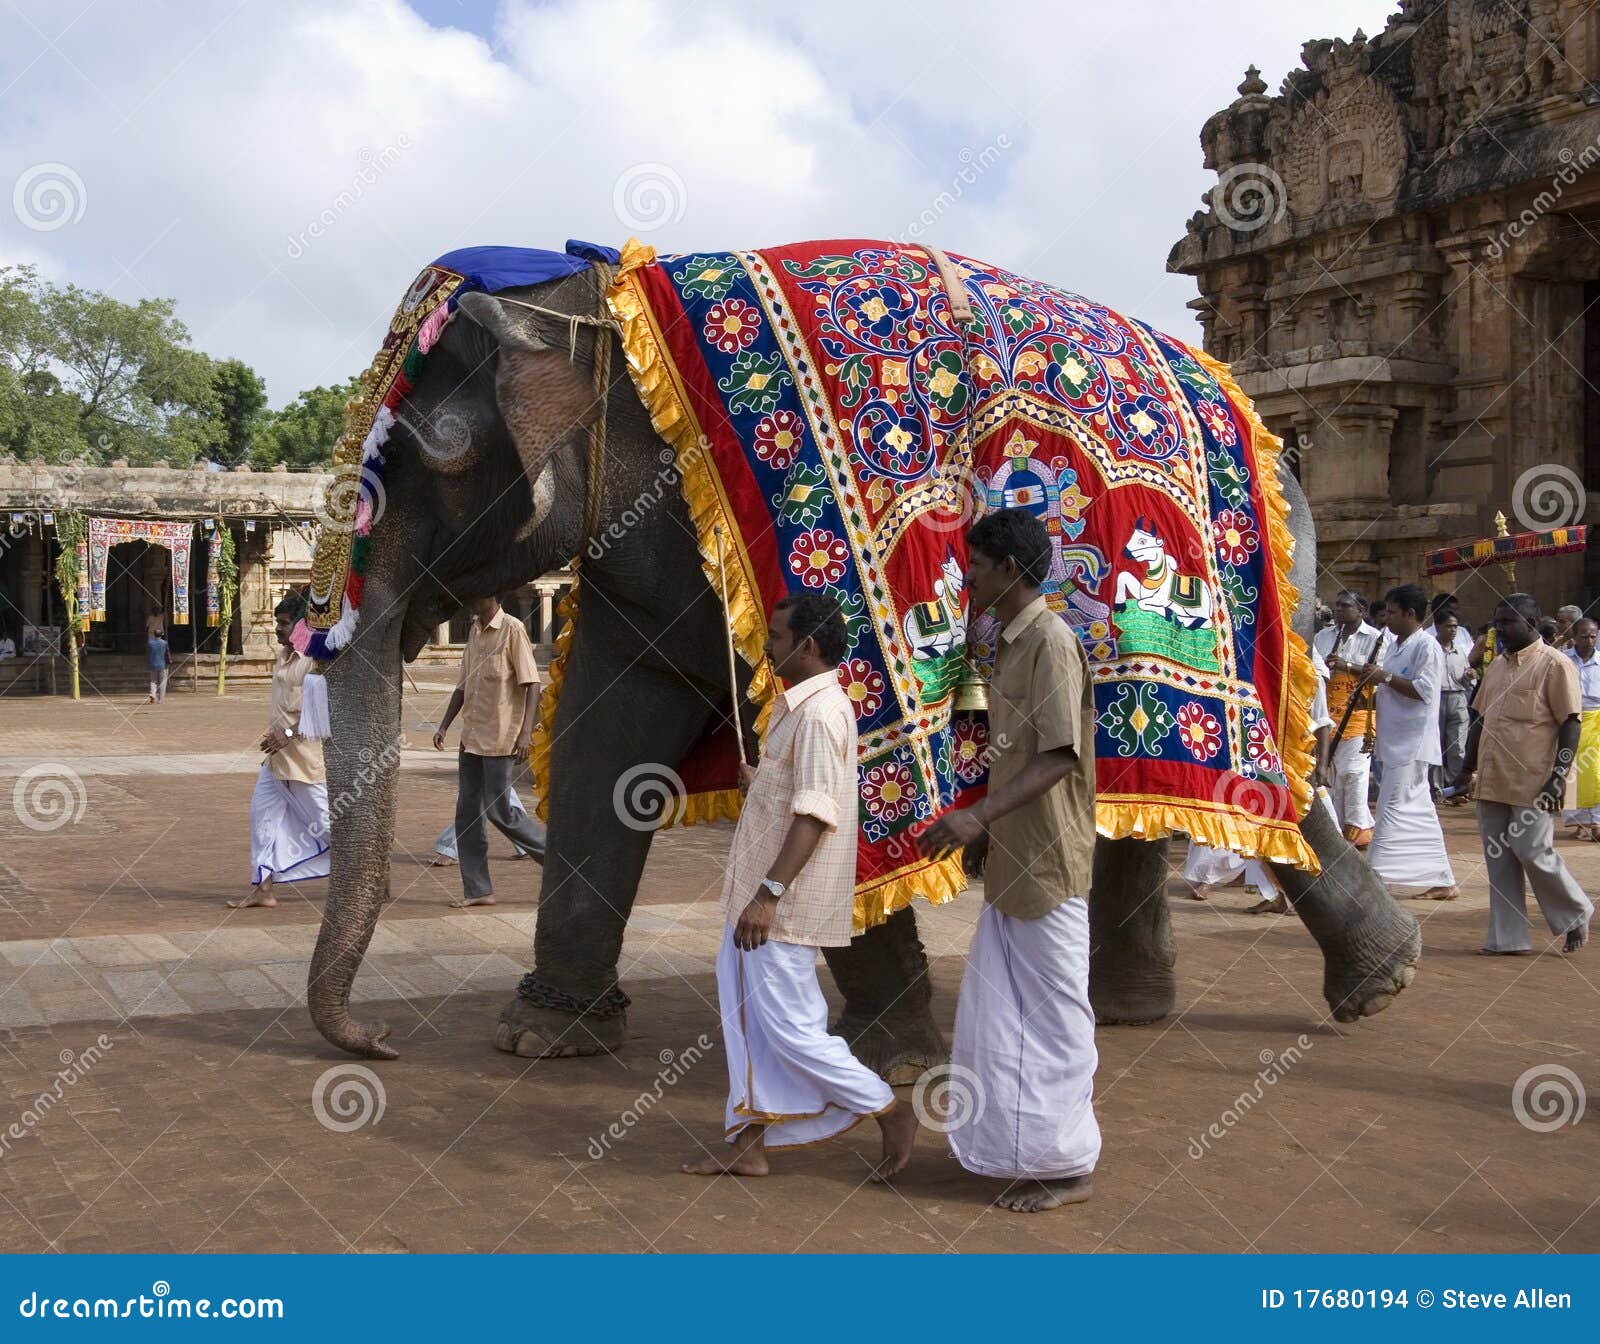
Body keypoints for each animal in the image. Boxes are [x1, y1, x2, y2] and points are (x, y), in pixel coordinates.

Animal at [307, 262, 1422, 1069]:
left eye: (423, 461)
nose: (381, 1042)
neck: (587, 300)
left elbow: (834, 753)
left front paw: (885, 1057)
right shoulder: (651, 550)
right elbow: (602, 742)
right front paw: (543, 1038)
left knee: (1268, 779)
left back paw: (1373, 989)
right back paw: (1139, 1014)